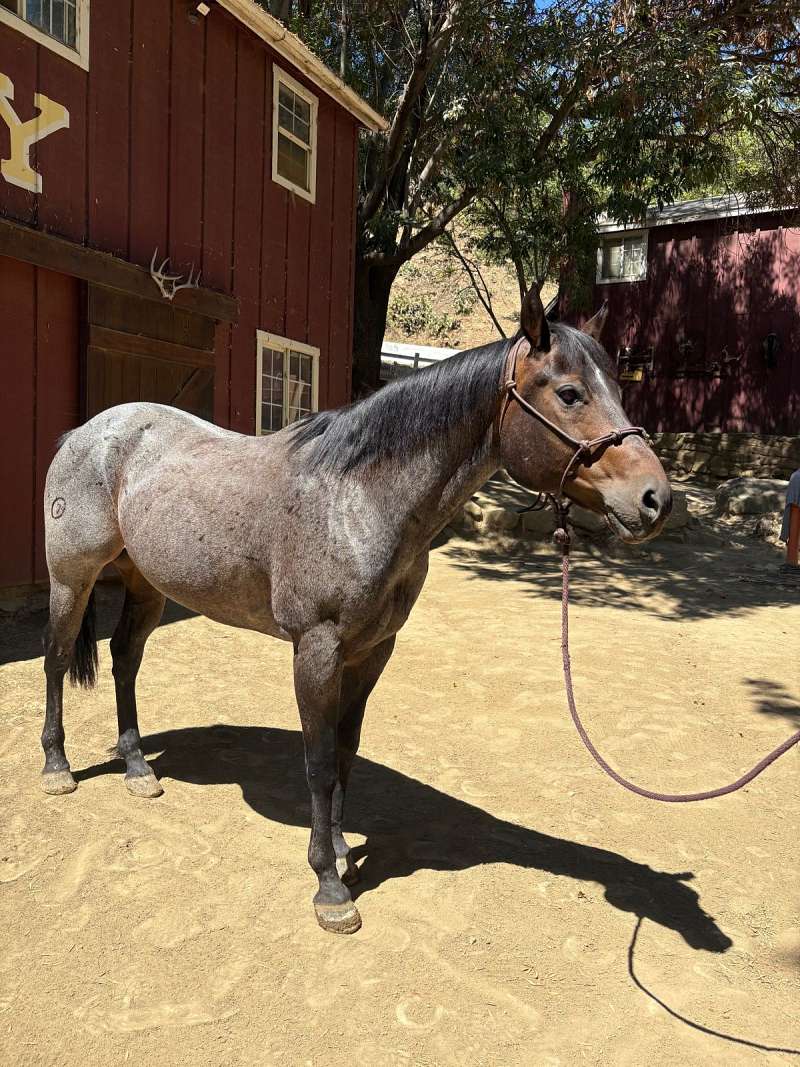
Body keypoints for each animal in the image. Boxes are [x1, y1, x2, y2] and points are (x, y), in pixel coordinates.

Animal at [40, 285, 671, 934]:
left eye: (618, 387)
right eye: (569, 393)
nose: (656, 499)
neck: (357, 499)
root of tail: (88, 432)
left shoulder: (372, 651)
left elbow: (345, 749)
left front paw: (343, 850)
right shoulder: (316, 649)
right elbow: (319, 760)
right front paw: (329, 886)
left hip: (145, 583)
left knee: (124, 660)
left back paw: (138, 768)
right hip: (71, 576)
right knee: (57, 658)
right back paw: (58, 768)